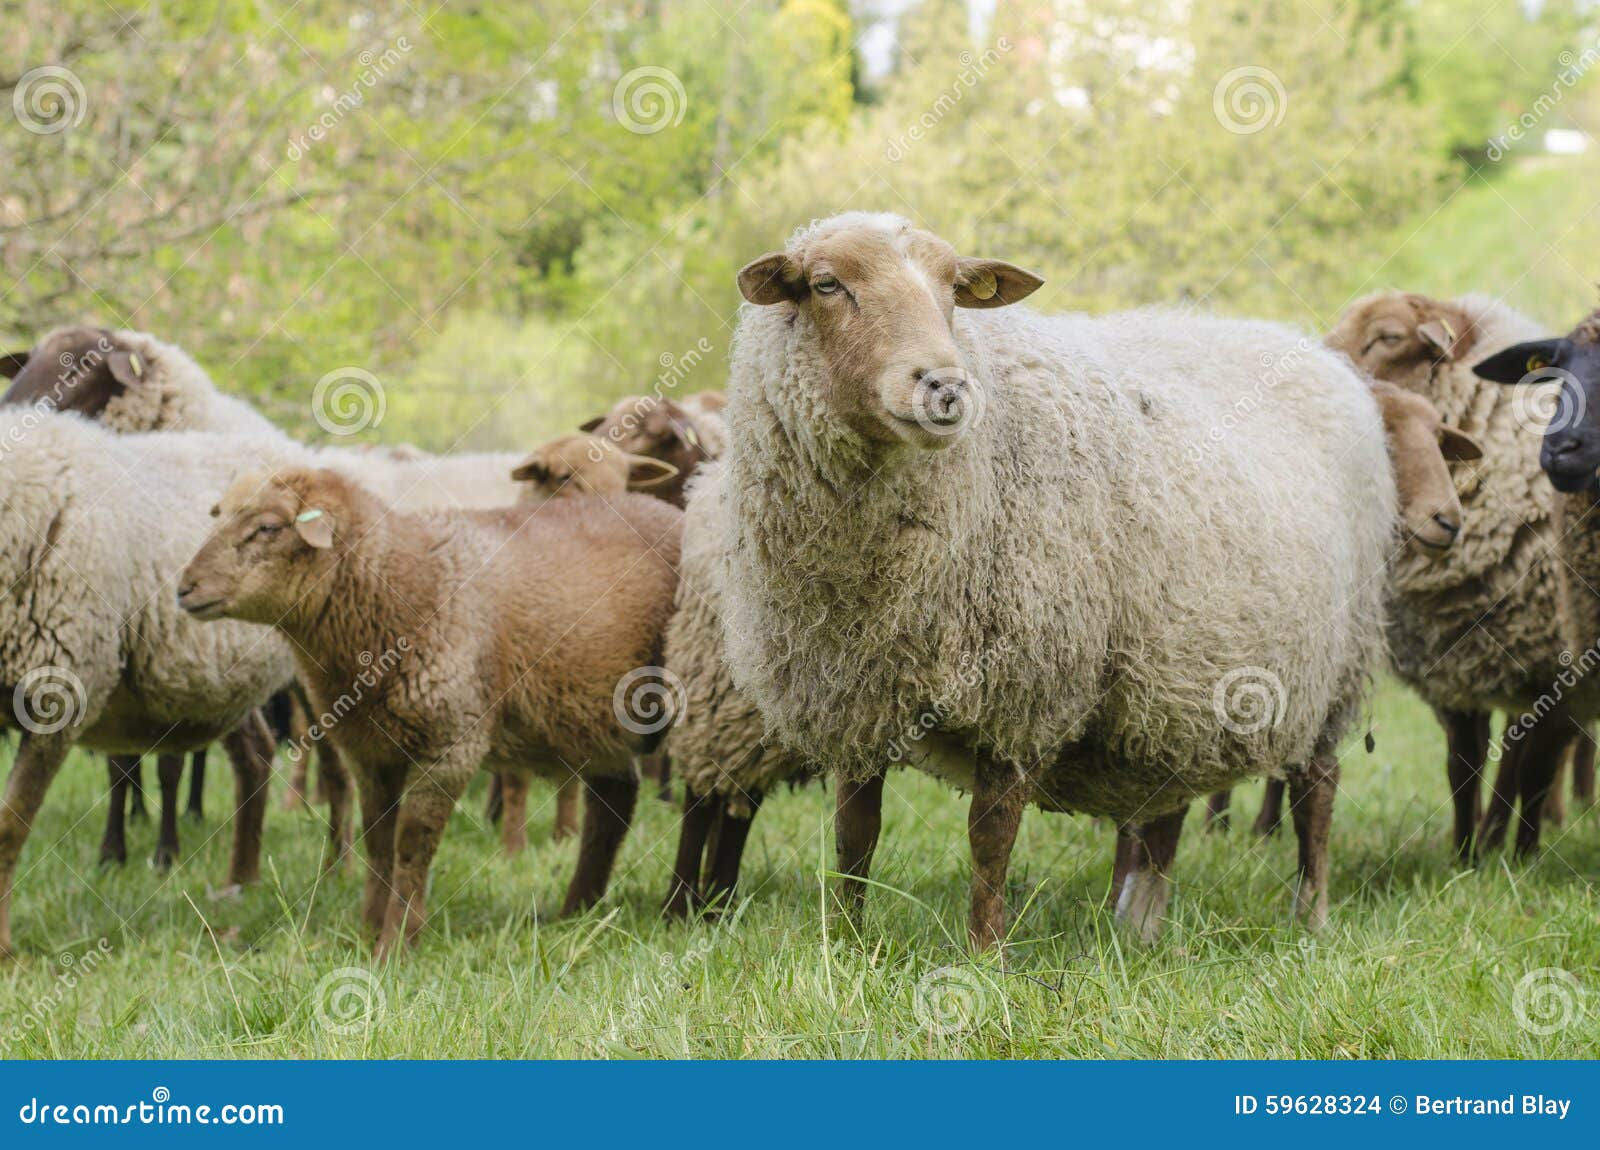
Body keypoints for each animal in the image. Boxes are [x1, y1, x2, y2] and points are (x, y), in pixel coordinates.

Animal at [179, 466, 683, 958]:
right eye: (218, 516)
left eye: (268, 527)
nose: (184, 588)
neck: (405, 582)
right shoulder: (370, 751)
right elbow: (377, 841)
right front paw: (366, 934)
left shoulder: (450, 743)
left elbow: (410, 845)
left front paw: (395, 946)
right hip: (594, 722)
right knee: (615, 799)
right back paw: (577, 910)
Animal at [715, 212, 1394, 947]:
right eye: (826, 284)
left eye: (952, 290)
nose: (944, 387)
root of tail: (1309, 350)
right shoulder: (853, 699)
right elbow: (854, 833)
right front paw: (846, 941)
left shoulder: (1024, 689)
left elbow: (990, 838)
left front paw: (984, 953)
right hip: (1180, 680)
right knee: (1171, 800)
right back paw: (1141, 927)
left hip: (1337, 668)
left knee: (1317, 793)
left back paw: (1311, 915)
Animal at [1327, 292, 1588, 858]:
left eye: (1387, 336)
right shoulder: (1456, 661)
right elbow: (1462, 767)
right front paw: (1464, 855)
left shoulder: (1552, 665)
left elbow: (1531, 768)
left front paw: (1515, 855)